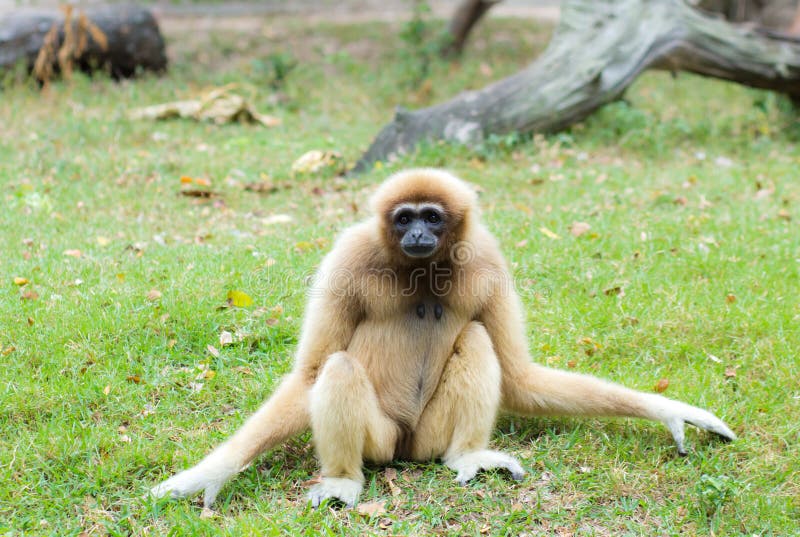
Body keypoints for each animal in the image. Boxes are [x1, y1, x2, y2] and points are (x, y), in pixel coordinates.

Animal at [150, 168, 735, 509]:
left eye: (432, 217)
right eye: (404, 217)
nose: (416, 234)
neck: (421, 270)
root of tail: (409, 449)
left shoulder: (489, 262)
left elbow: (519, 377)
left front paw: (669, 410)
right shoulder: (346, 257)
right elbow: (311, 373)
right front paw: (208, 475)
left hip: (429, 435)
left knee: (476, 338)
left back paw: (467, 457)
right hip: (384, 441)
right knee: (339, 368)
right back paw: (343, 481)